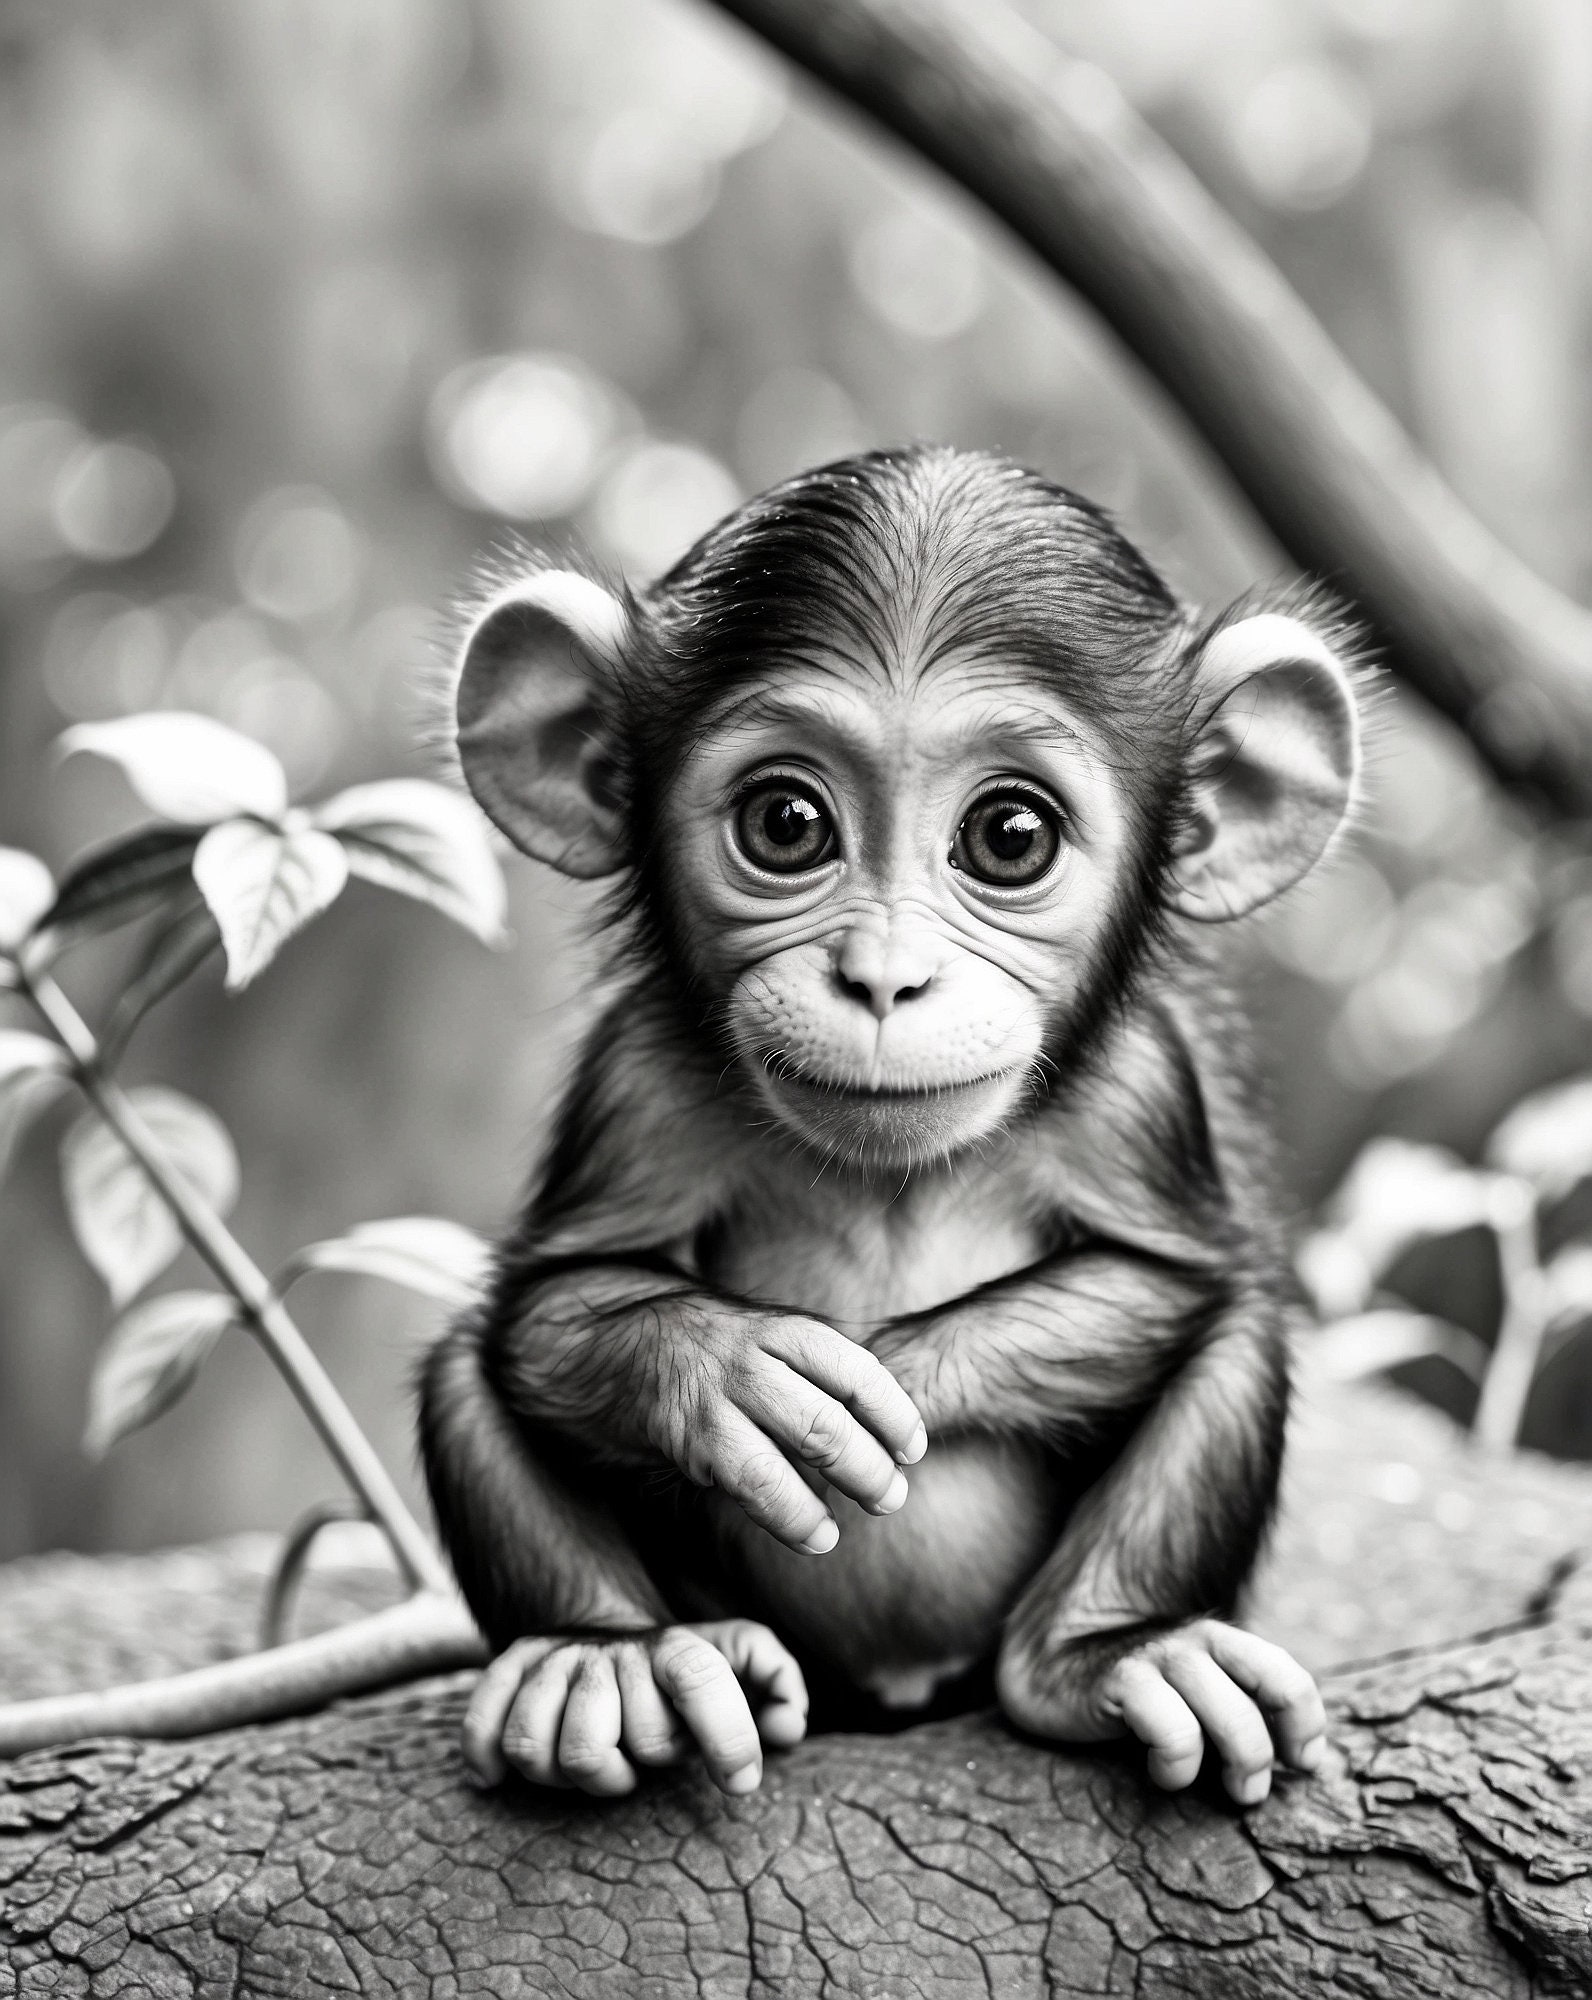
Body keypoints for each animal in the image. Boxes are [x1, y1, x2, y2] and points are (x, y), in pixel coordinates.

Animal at [417, 445, 1355, 1809]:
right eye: (785, 822)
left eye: (1010, 836)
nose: (883, 977)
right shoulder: (636, 1078)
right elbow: (558, 1291)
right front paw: (740, 1368)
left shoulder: (1143, 1087)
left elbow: (1164, 1277)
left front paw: (896, 1366)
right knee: (470, 1362)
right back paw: (606, 1655)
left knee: (1232, 1339)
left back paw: (1109, 1652)